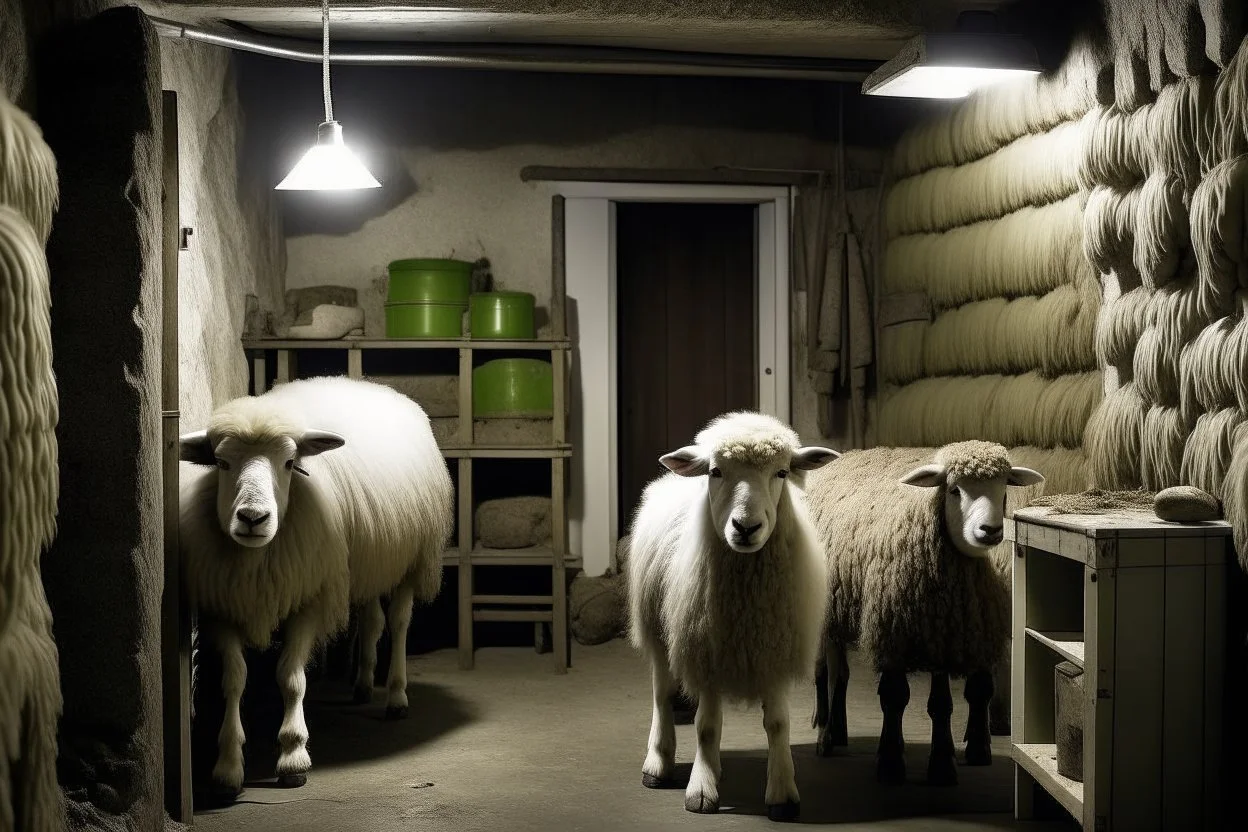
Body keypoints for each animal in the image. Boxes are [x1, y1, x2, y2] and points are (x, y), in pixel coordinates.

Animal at [179, 376, 453, 796]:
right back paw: (362, 683)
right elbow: (234, 681)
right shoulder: (223, 606)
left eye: (290, 463)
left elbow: (291, 679)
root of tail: (371, 385)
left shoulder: (310, 599)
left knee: (399, 623)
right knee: (372, 620)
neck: (257, 559)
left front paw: (293, 756)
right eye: (222, 462)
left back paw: (396, 695)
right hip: (368, 562)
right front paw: (227, 765)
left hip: (410, 558)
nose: (253, 518)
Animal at [627, 412, 837, 821]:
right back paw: (658, 764)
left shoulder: (772, 649)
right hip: (659, 629)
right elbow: (705, 726)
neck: (747, 603)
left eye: (782, 472)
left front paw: (782, 792)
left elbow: (777, 723)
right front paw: (701, 790)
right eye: (715, 471)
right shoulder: (703, 647)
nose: (746, 527)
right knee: (662, 697)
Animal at [805, 441, 1043, 786]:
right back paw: (825, 734)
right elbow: (893, 697)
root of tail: (846, 455)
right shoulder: (895, 633)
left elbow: (956, 700)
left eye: (1004, 490)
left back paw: (838, 731)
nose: (990, 530)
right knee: (825, 671)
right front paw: (891, 763)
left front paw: (952, 760)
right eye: (954, 490)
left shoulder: (955, 632)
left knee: (841, 673)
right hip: (825, 608)